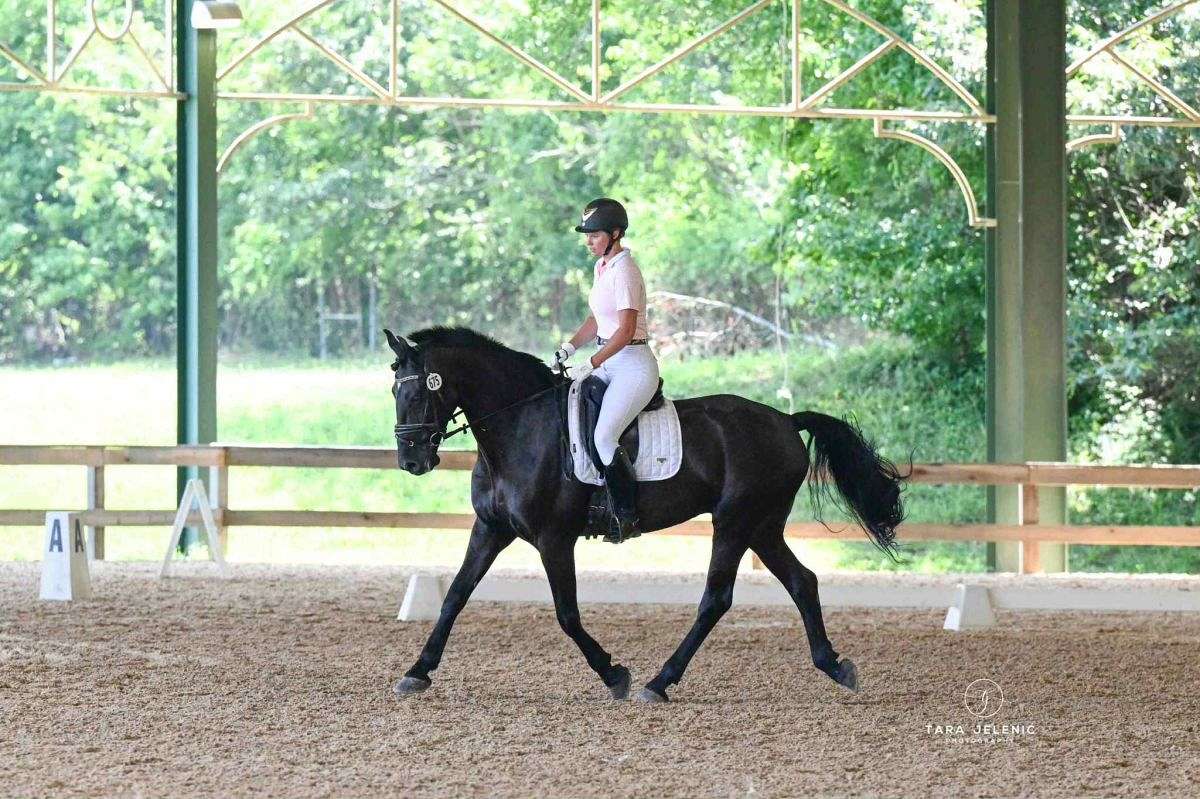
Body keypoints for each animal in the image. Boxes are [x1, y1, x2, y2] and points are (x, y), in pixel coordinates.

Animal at [386, 326, 906, 702]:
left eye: (419, 392)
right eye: (394, 391)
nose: (412, 462)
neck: (518, 428)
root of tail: (785, 420)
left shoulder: (554, 538)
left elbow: (567, 614)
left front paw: (614, 674)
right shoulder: (490, 529)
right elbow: (455, 596)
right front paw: (417, 672)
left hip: (735, 522)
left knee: (716, 599)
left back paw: (660, 682)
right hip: (762, 525)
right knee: (802, 582)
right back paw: (834, 665)